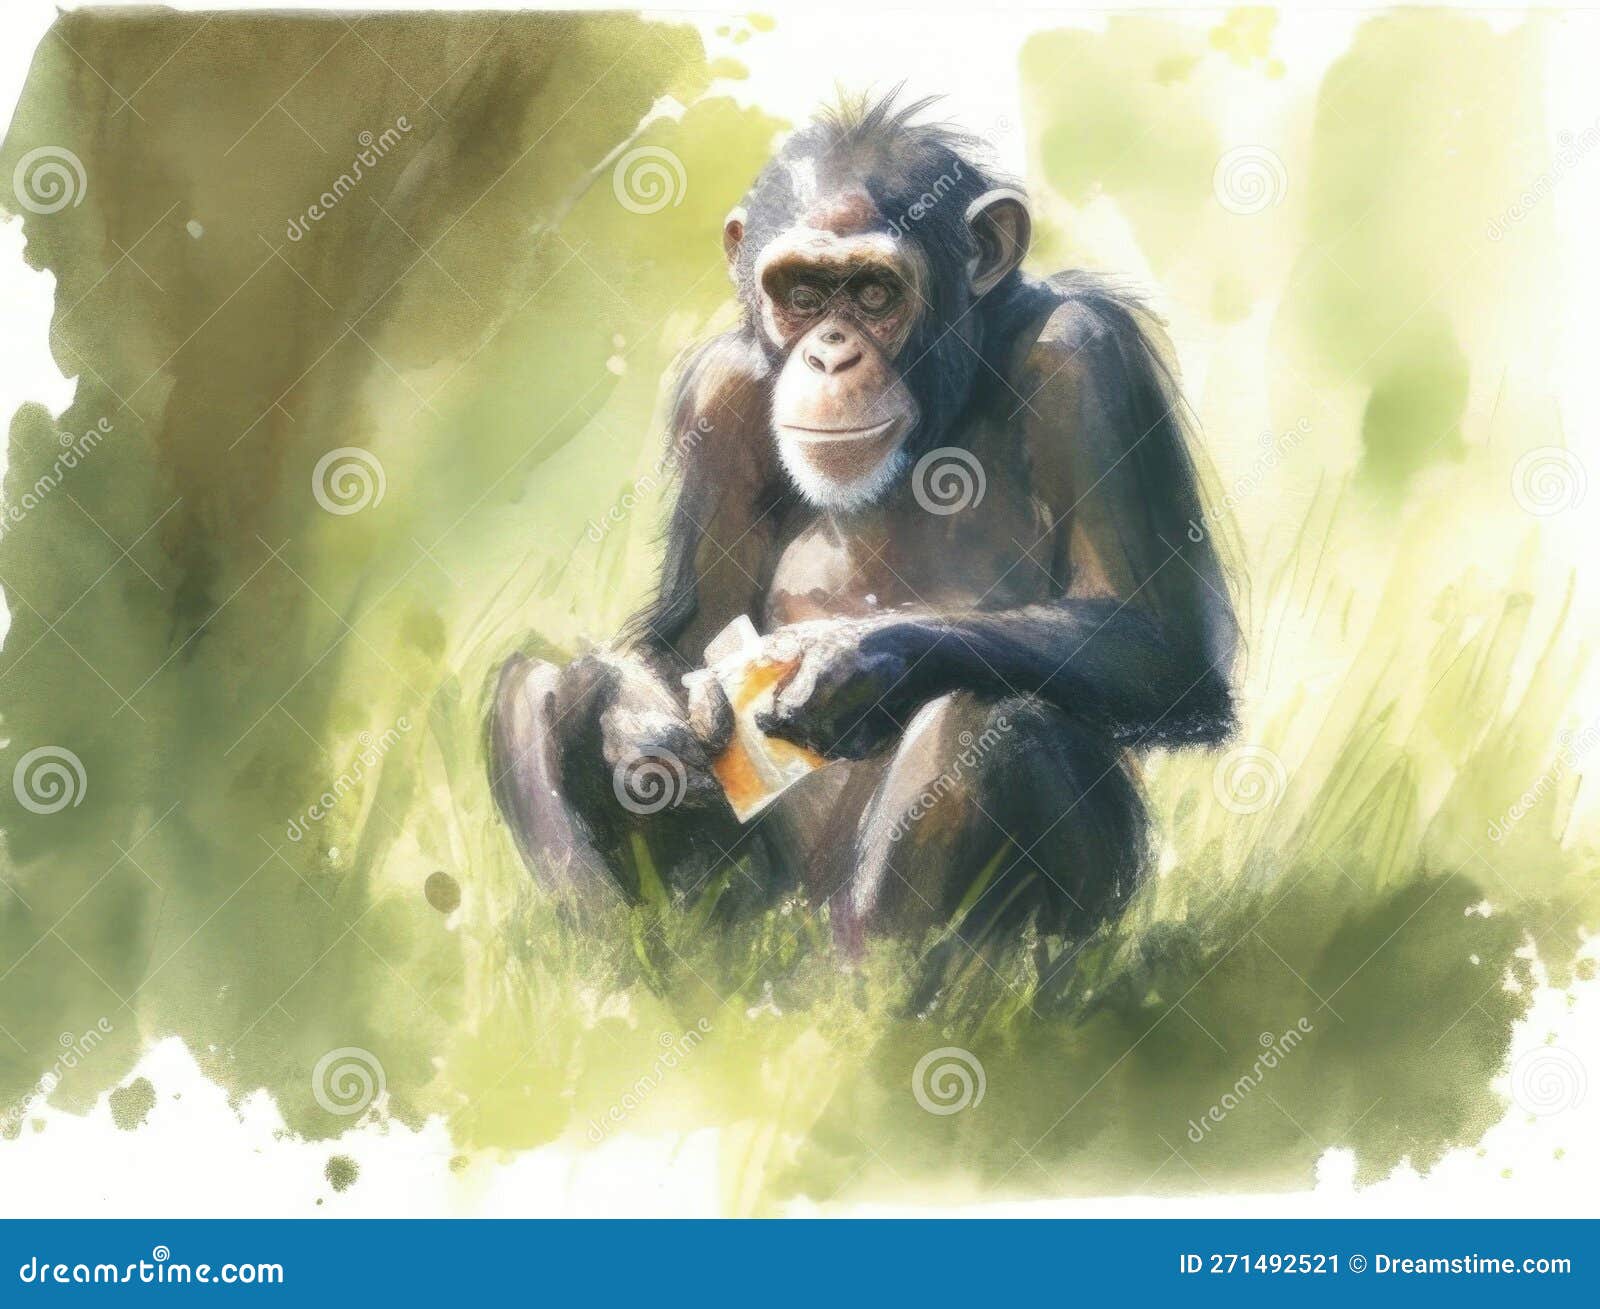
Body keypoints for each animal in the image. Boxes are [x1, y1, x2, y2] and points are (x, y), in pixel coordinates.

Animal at [488, 94, 1238, 973]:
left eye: (876, 292)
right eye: (804, 294)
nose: (831, 353)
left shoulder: (1089, 359)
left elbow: (1162, 641)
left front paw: (852, 662)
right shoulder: (719, 399)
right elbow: (686, 638)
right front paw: (635, 721)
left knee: (987, 716)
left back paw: (876, 997)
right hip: (742, 913)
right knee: (536, 685)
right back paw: (637, 974)